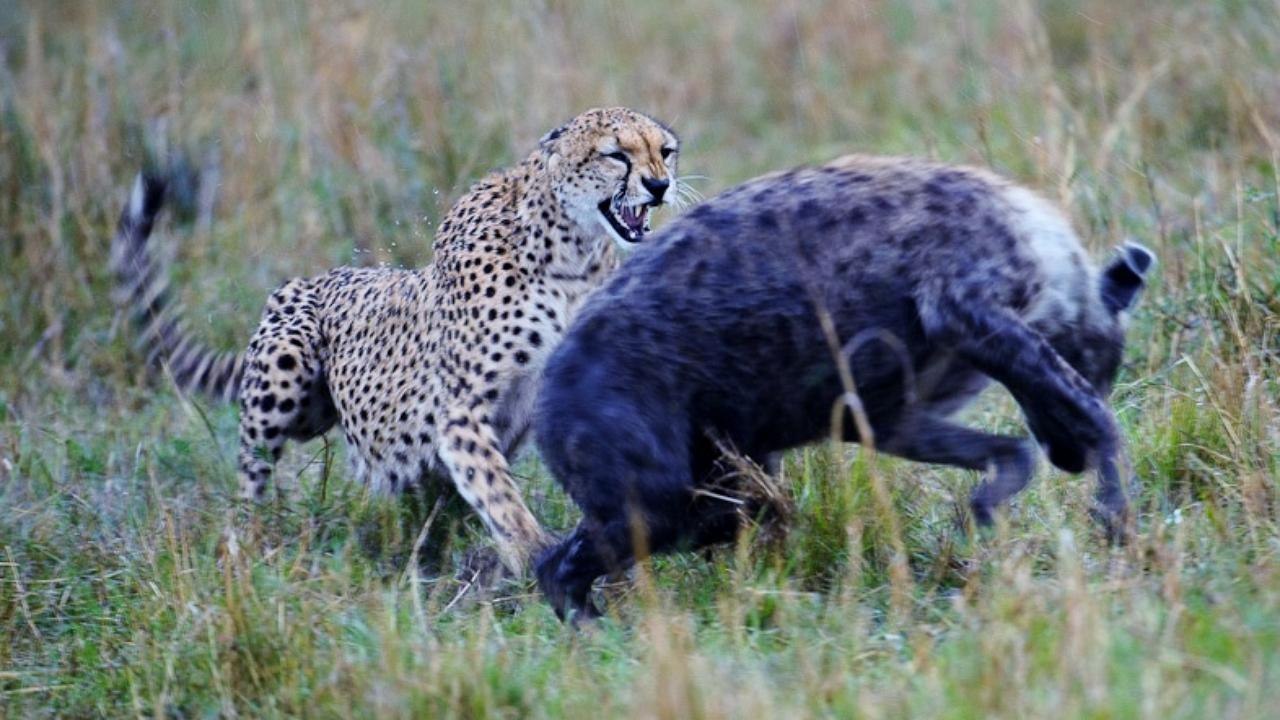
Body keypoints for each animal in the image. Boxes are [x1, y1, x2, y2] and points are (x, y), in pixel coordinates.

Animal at [111, 107, 681, 575]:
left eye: (665, 150)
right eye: (616, 154)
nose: (659, 184)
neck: (571, 250)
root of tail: (312, 280)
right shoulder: (461, 412)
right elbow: (498, 491)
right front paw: (535, 553)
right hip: (288, 370)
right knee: (251, 476)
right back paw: (245, 545)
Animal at [532, 154, 1155, 621]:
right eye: (1102, 366)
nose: (1069, 460)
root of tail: (540, 392)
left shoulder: (889, 417)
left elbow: (1011, 452)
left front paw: (983, 515)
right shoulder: (962, 307)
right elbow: (1089, 413)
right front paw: (1118, 522)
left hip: (722, 473)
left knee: (714, 517)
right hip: (656, 489)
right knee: (575, 559)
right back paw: (597, 634)